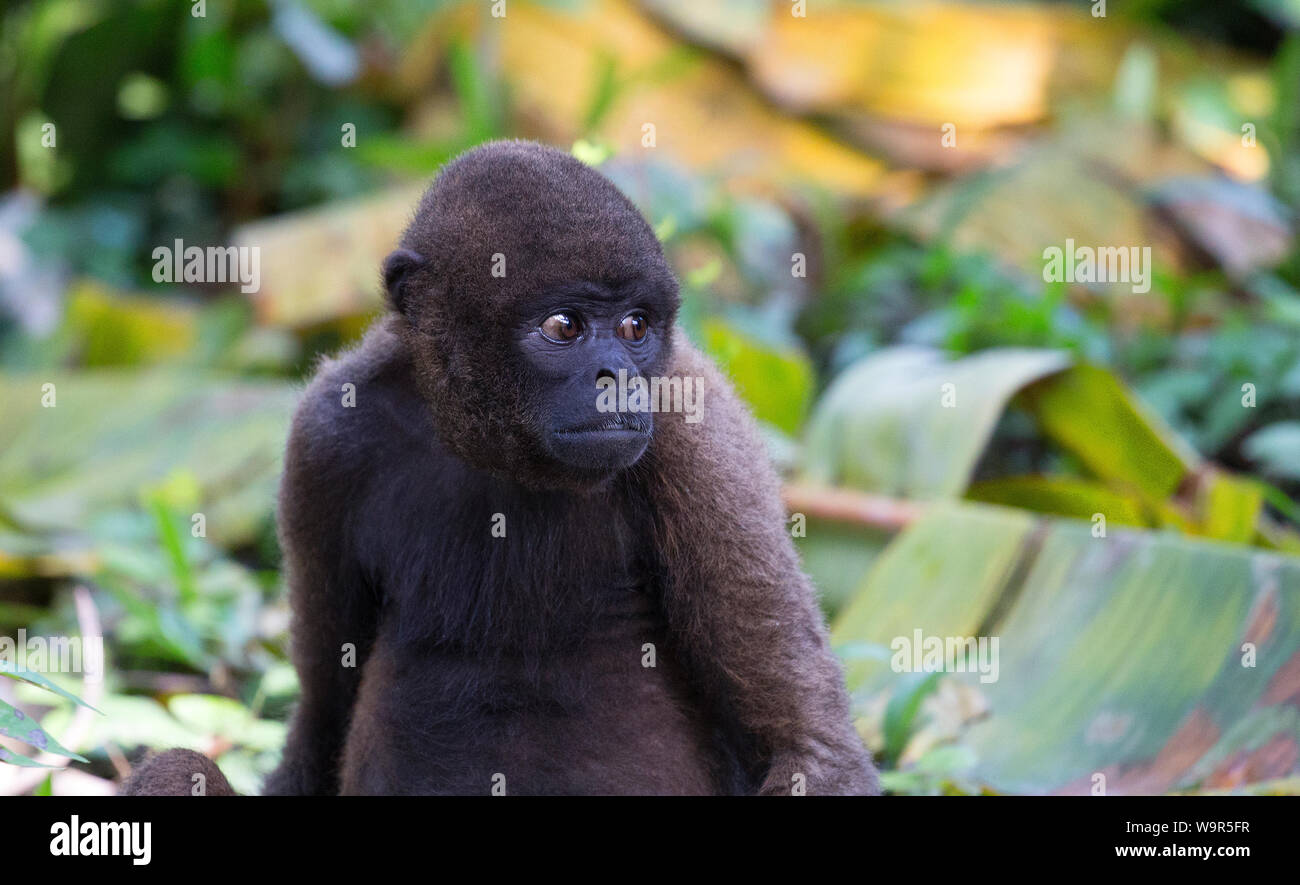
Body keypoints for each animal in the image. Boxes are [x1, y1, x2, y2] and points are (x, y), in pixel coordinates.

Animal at [121, 140, 878, 796]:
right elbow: (322, 717)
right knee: (178, 768)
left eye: (636, 326)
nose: (618, 379)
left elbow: (810, 745)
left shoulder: (699, 427)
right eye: (565, 326)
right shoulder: (323, 437)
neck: (485, 443)